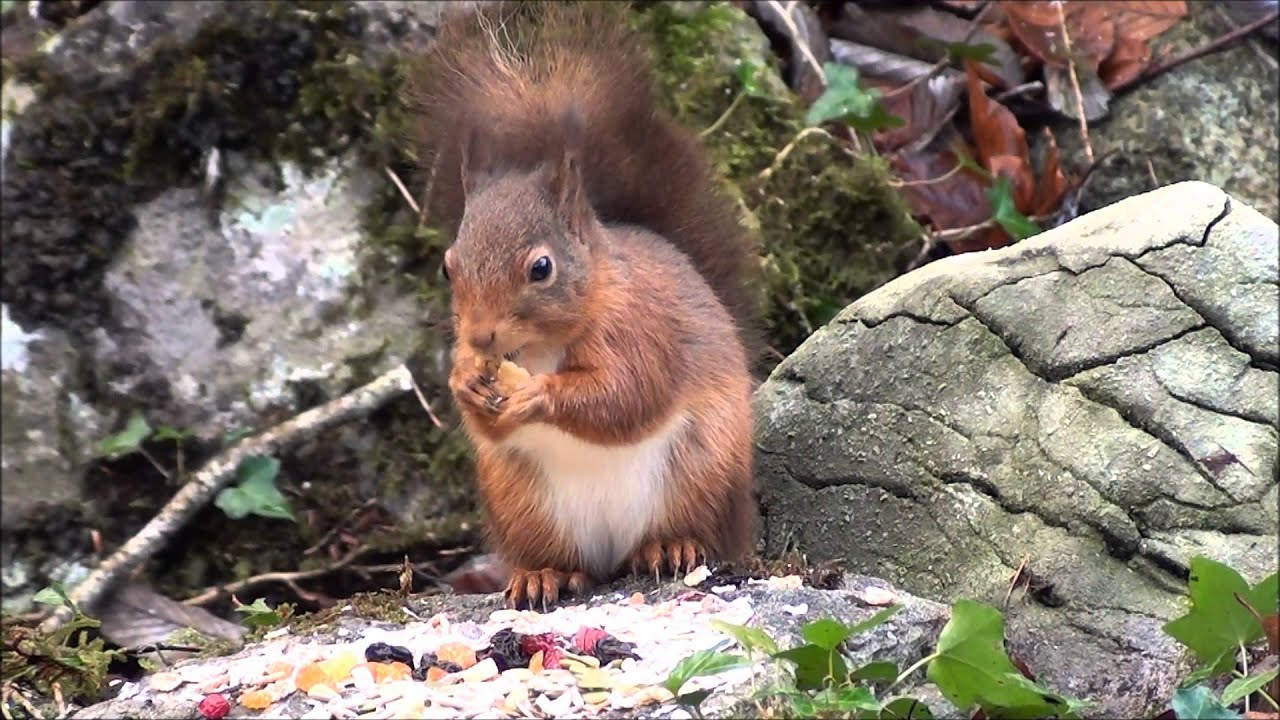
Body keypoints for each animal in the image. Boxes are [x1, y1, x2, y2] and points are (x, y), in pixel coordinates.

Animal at [407, 0, 760, 609]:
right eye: (448, 266)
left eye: (541, 268)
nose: (478, 337)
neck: (541, 345)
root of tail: (613, 555)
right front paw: (464, 381)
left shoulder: (642, 330)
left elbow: (626, 395)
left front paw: (536, 395)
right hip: (522, 503)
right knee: (566, 562)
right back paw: (544, 575)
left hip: (701, 471)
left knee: (691, 530)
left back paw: (670, 546)